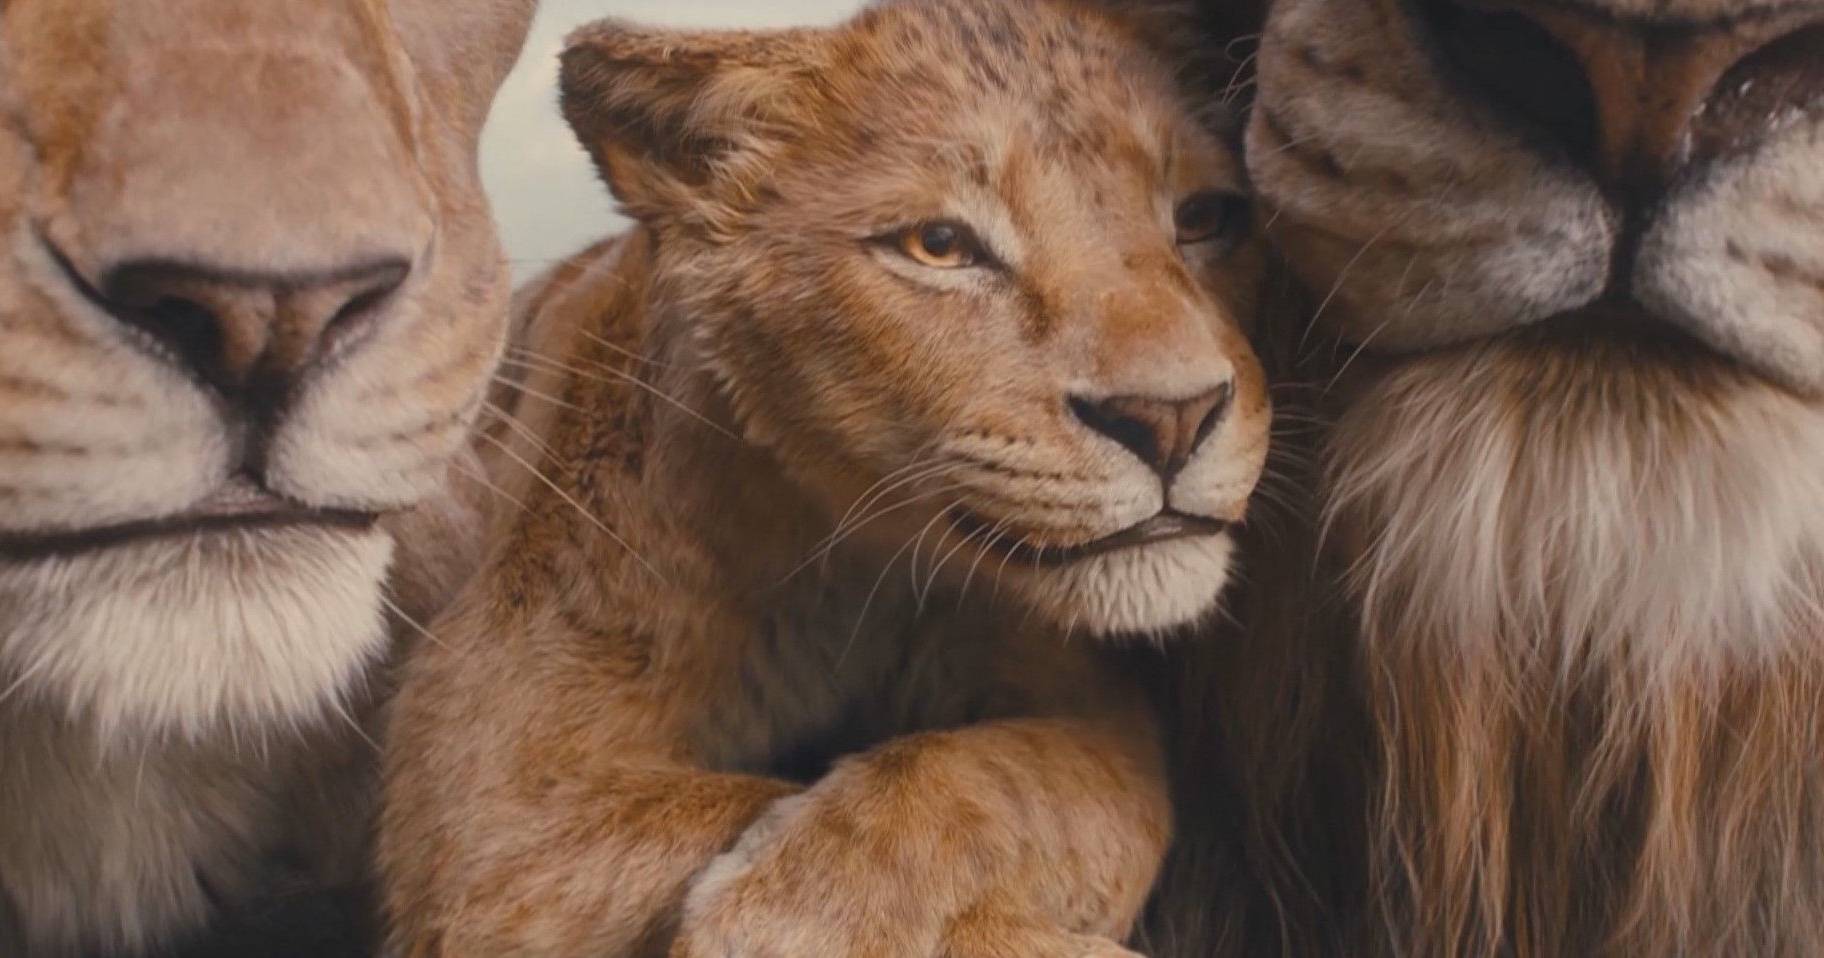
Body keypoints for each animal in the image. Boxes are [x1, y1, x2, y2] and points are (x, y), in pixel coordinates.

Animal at [376, 0, 1272, 954]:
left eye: (1205, 216)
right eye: (939, 245)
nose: (1172, 419)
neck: (852, 565)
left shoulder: (1094, 711)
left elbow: (1027, 782)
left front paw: (807, 899)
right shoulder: (491, 808)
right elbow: (722, 803)